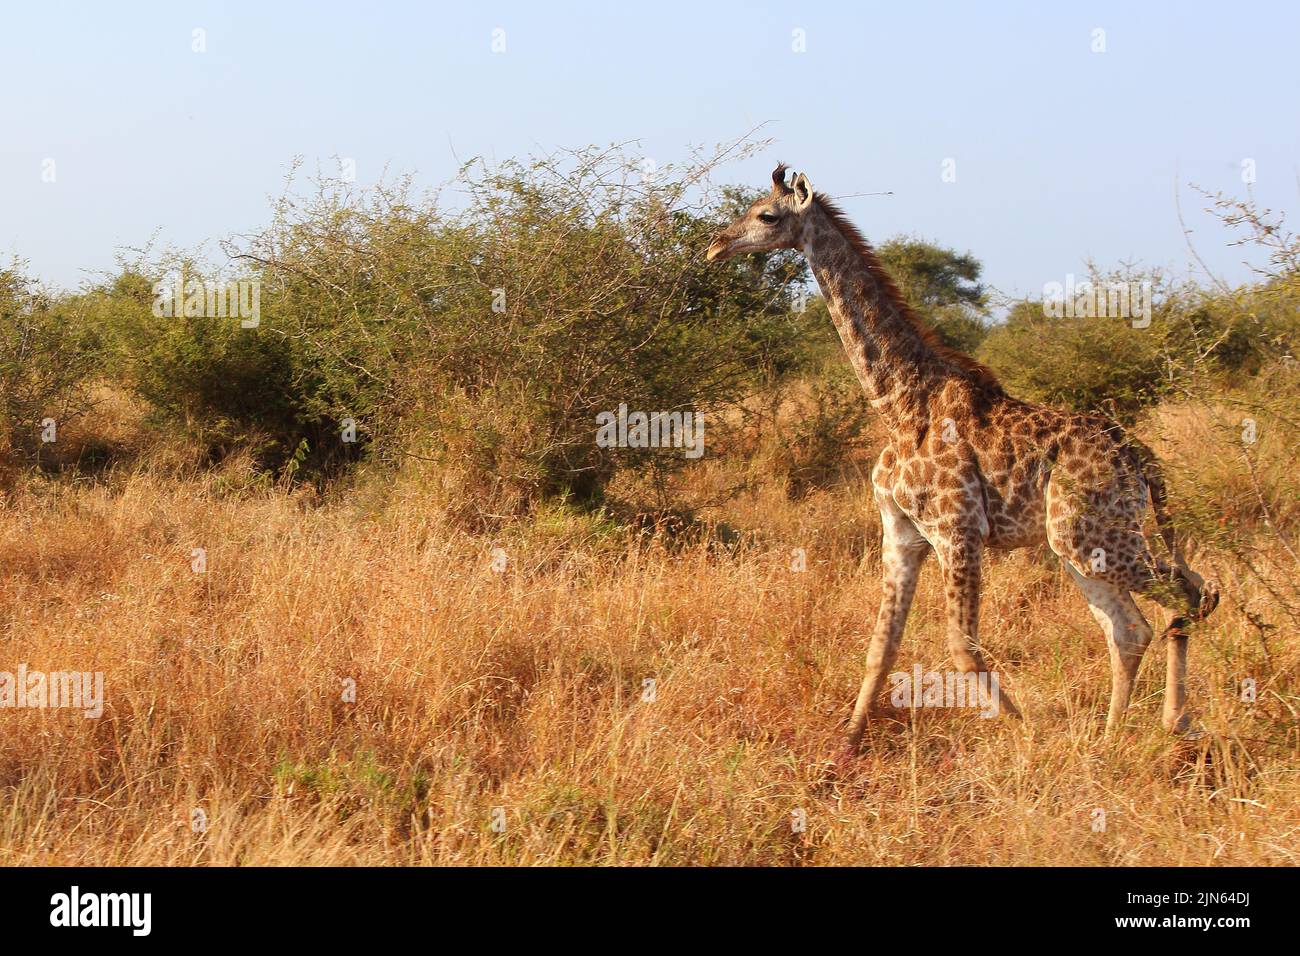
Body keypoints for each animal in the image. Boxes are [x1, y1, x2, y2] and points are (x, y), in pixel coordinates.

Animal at [706, 165, 1219, 756]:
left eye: (767, 215)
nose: (716, 245)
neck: (900, 404)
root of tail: (1141, 457)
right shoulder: (902, 533)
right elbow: (881, 646)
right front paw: (845, 748)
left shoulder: (958, 530)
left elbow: (962, 647)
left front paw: (1030, 733)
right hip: (1080, 545)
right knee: (1134, 627)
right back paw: (1114, 738)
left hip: (1092, 535)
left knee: (1191, 594)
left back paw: (1175, 722)